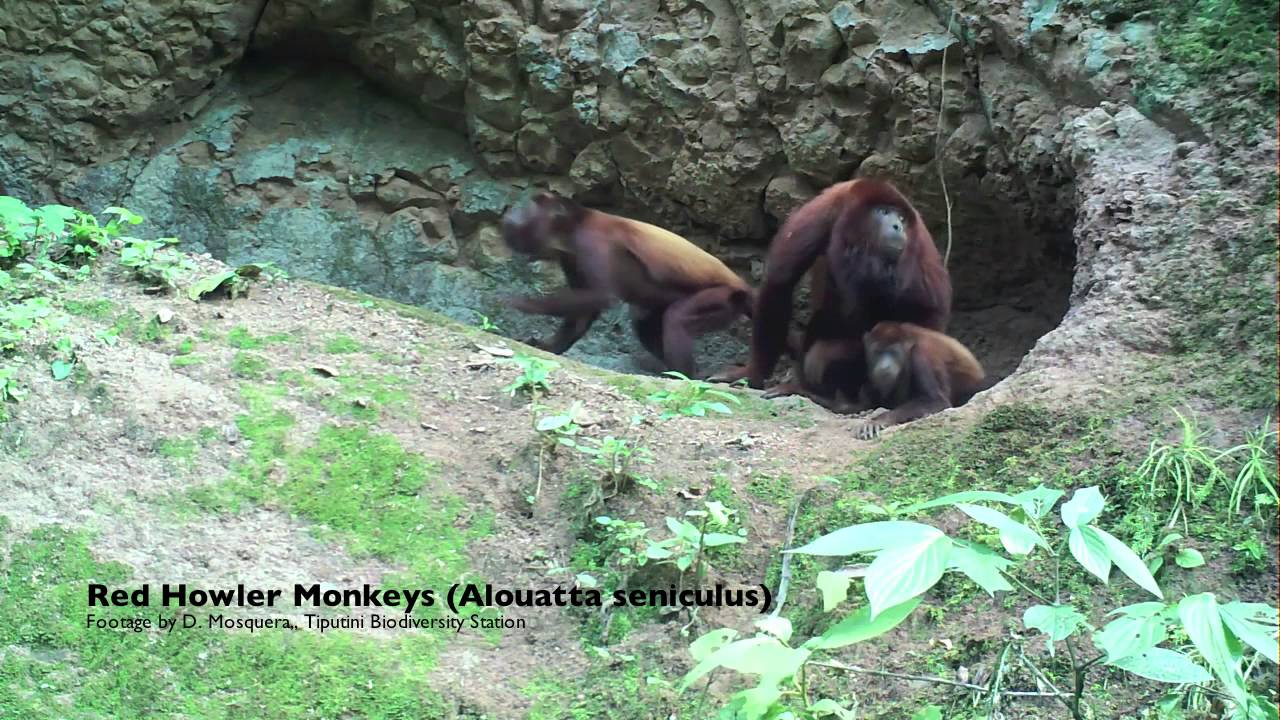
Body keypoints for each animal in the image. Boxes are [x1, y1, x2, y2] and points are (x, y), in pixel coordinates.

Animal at [501, 191, 754, 379]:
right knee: (643, 323)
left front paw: (525, 303)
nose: (510, 211)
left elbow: (602, 296)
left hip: (725, 297)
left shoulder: (592, 243)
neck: (571, 229)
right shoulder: (570, 258)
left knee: (677, 317)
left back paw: (683, 377)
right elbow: (584, 313)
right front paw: (547, 347)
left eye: (528, 205)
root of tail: (743, 286)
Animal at [710, 178, 951, 405]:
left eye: (901, 218)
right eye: (883, 211)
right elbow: (780, 282)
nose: (897, 227)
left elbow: (928, 308)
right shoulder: (822, 213)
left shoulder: (919, 242)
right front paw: (753, 373)